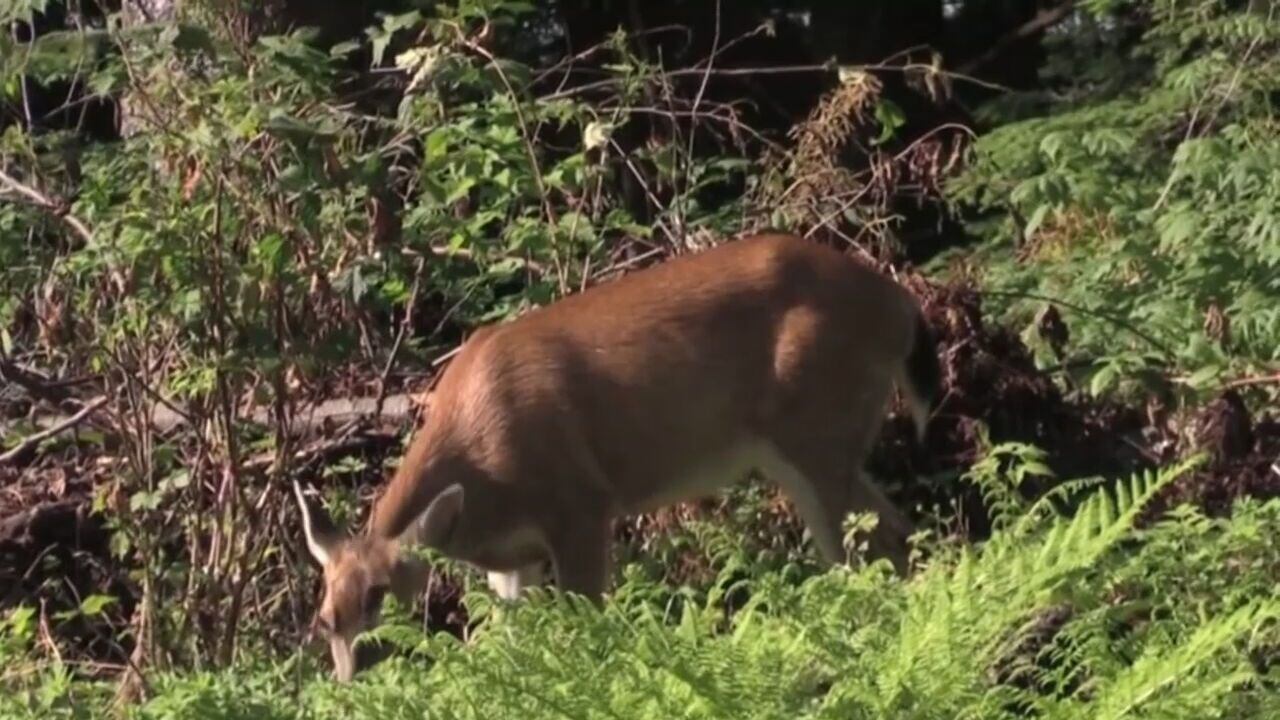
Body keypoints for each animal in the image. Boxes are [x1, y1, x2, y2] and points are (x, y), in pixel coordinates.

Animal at [292, 231, 941, 682]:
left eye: (381, 594)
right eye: (324, 619)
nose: (353, 678)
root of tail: (900, 304)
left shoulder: (581, 504)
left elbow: (588, 621)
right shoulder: (514, 559)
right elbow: (514, 640)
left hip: (816, 428)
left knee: (869, 550)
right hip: (816, 447)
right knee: (890, 537)